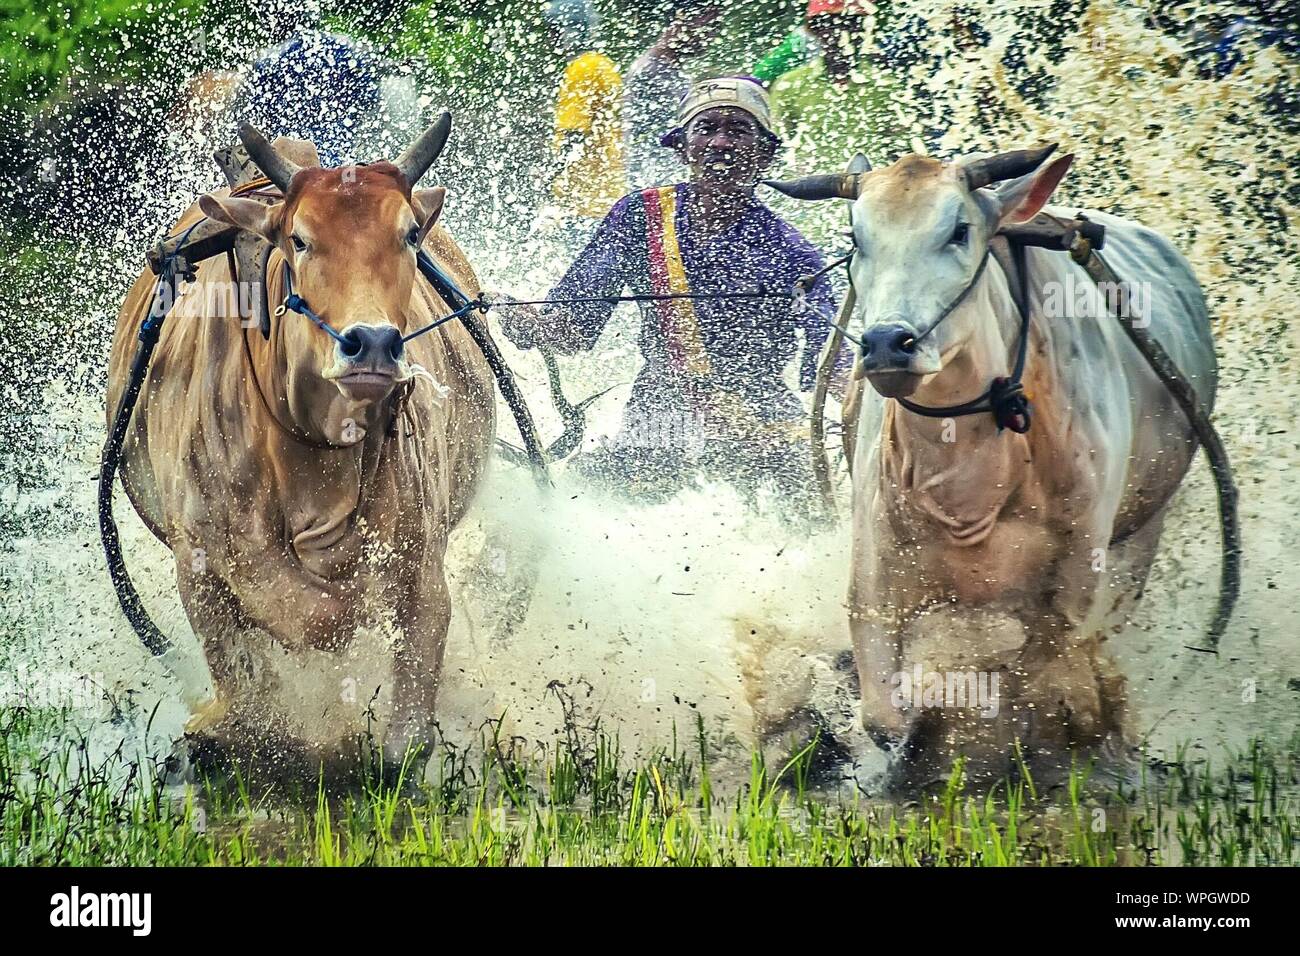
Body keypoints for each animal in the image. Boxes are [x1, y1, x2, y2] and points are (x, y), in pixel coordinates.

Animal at [106, 118, 495, 778]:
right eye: (300, 239)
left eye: (408, 234)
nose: (373, 344)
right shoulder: (199, 560)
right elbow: (273, 657)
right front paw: (217, 729)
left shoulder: (421, 567)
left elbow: (405, 735)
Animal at [771, 147, 1217, 790]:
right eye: (857, 238)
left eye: (959, 230)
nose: (886, 343)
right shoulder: (875, 579)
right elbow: (884, 716)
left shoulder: (1077, 579)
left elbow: (1050, 684)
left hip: (1141, 536)